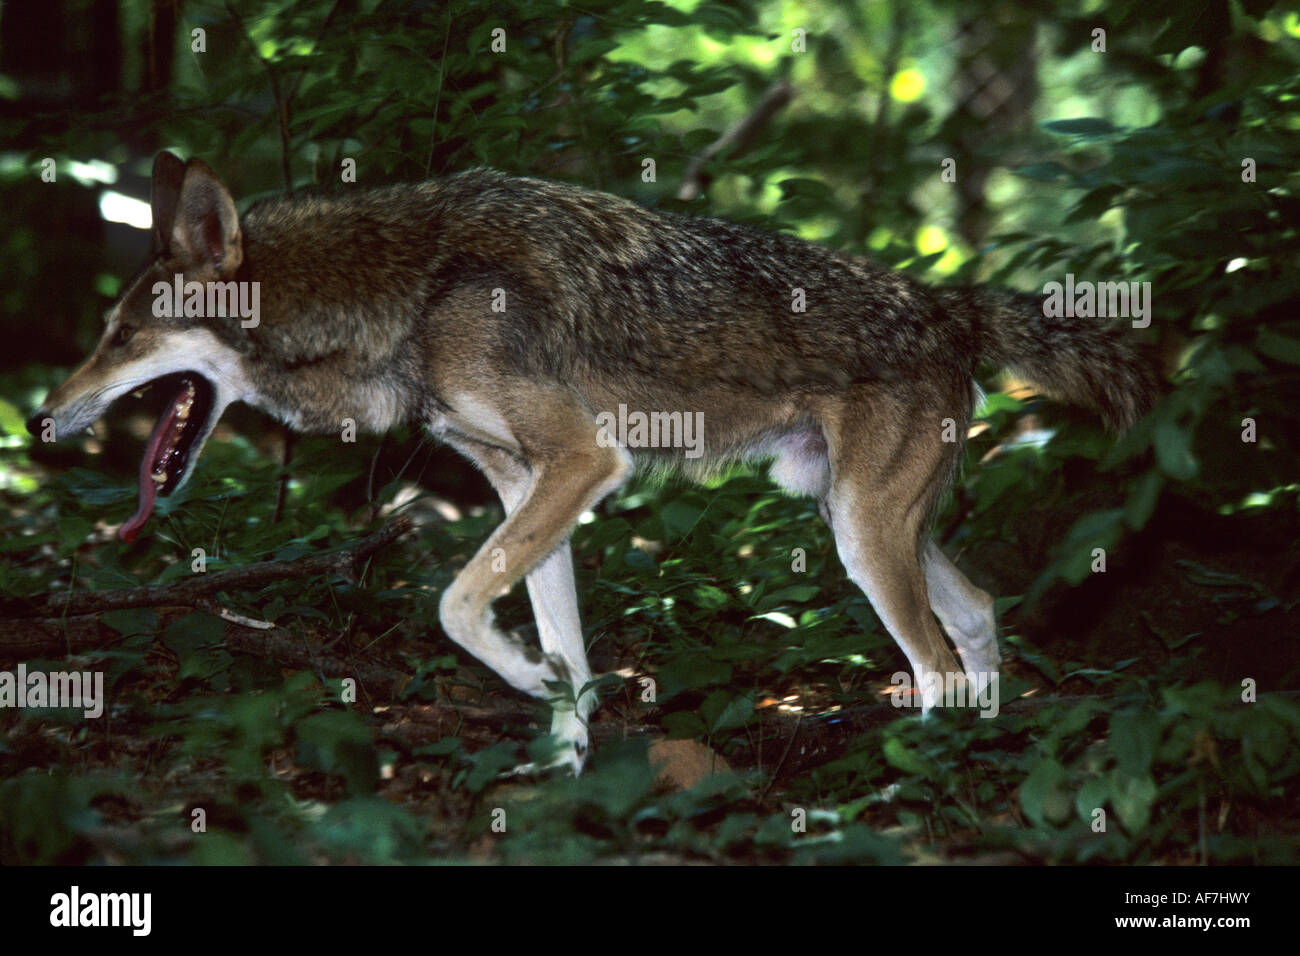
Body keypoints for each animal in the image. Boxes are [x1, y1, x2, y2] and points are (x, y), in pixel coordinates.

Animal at [28, 152, 1156, 773]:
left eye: (122, 336)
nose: (40, 419)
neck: (406, 295)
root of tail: (947, 302)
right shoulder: (529, 484)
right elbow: (560, 651)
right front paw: (565, 777)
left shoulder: (580, 464)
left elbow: (455, 607)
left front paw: (526, 678)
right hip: (860, 526)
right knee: (979, 615)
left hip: (863, 543)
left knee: (935, 664)